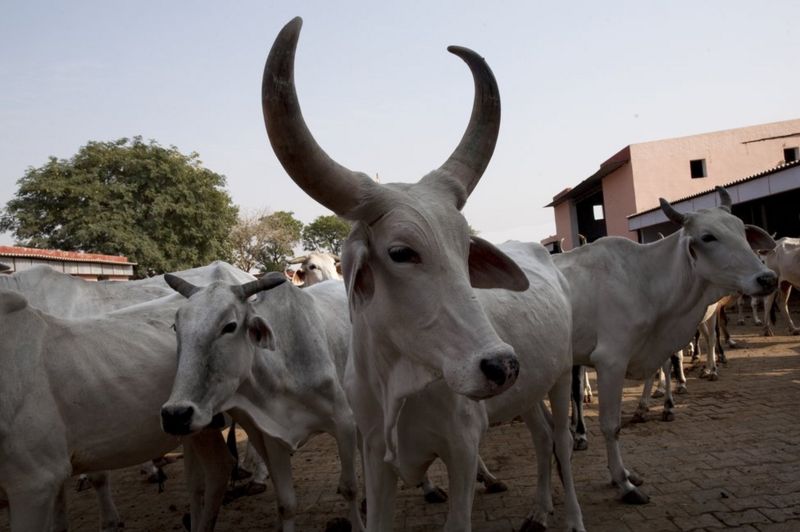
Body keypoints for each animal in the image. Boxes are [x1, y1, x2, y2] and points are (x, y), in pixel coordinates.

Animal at [262, 18, 584, 531]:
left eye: (464, 249)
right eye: (400, 252)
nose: (501, 366)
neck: (400, 384)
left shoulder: (463, 449)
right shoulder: (375, 453)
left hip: (558, 376)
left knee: (561, 444)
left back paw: (571, 514)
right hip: (529, 390)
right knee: (539, 438)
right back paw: (538, 509)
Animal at [553, 187, 777, 504]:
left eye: (741, 231)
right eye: (708, 237)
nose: (767, 278)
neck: (642, 278)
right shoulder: (610, 361)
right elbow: (611, 425)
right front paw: (623, 482)